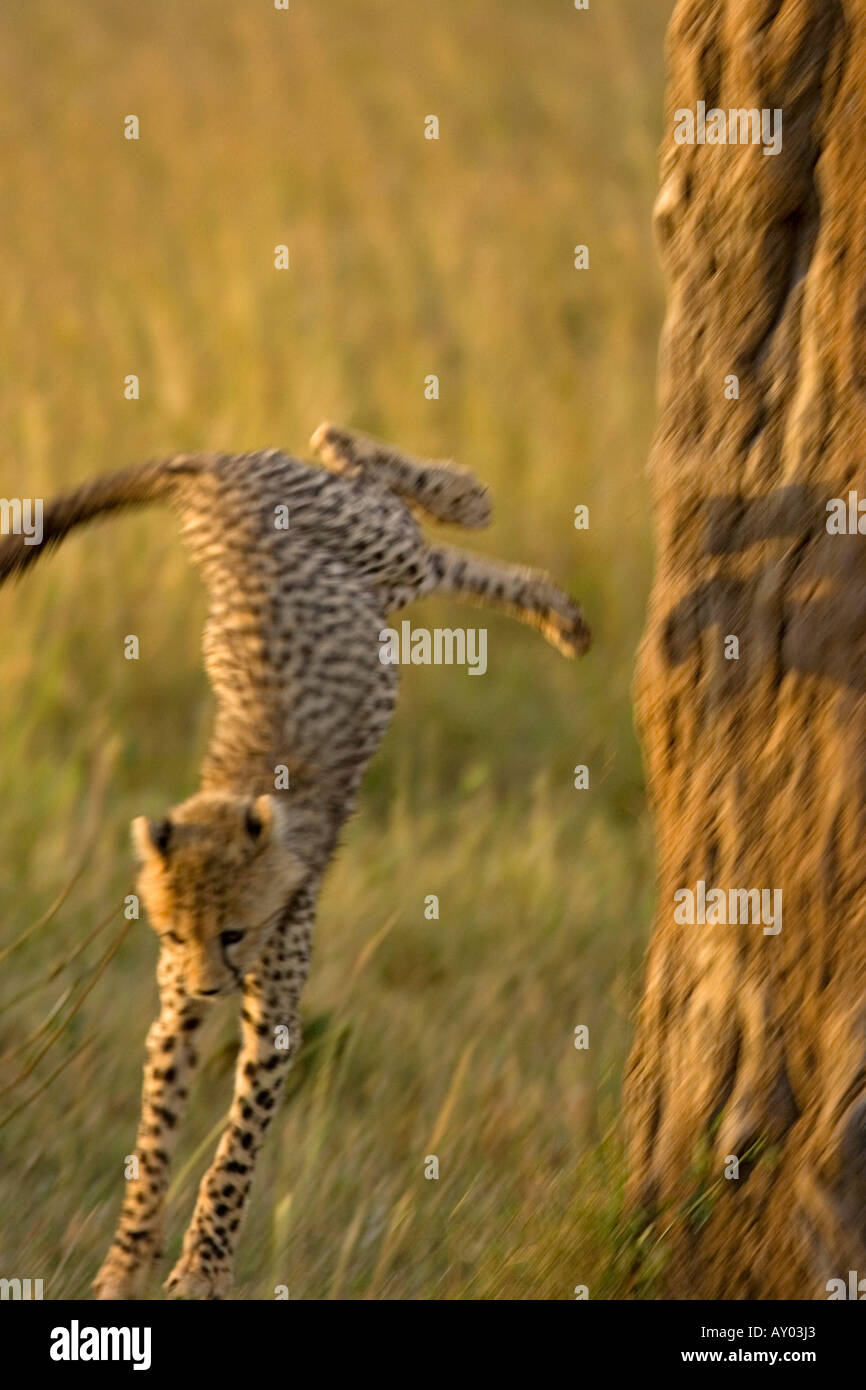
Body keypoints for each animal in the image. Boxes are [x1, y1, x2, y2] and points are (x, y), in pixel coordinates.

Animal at [0, 423, 590, 1299]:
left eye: (235, 933)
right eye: (175, 938)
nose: (208, 985)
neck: (237, 794)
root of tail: (206, 466)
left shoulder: (272, 1017)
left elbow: (235, 1150)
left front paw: (202, 1265)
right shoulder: (173, 1019)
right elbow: (154, 1136)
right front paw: (127, 1257)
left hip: (370, 545)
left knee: (371, 475)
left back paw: (465, 497)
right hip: (376, 585)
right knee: (419, 538)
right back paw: (553, 609)